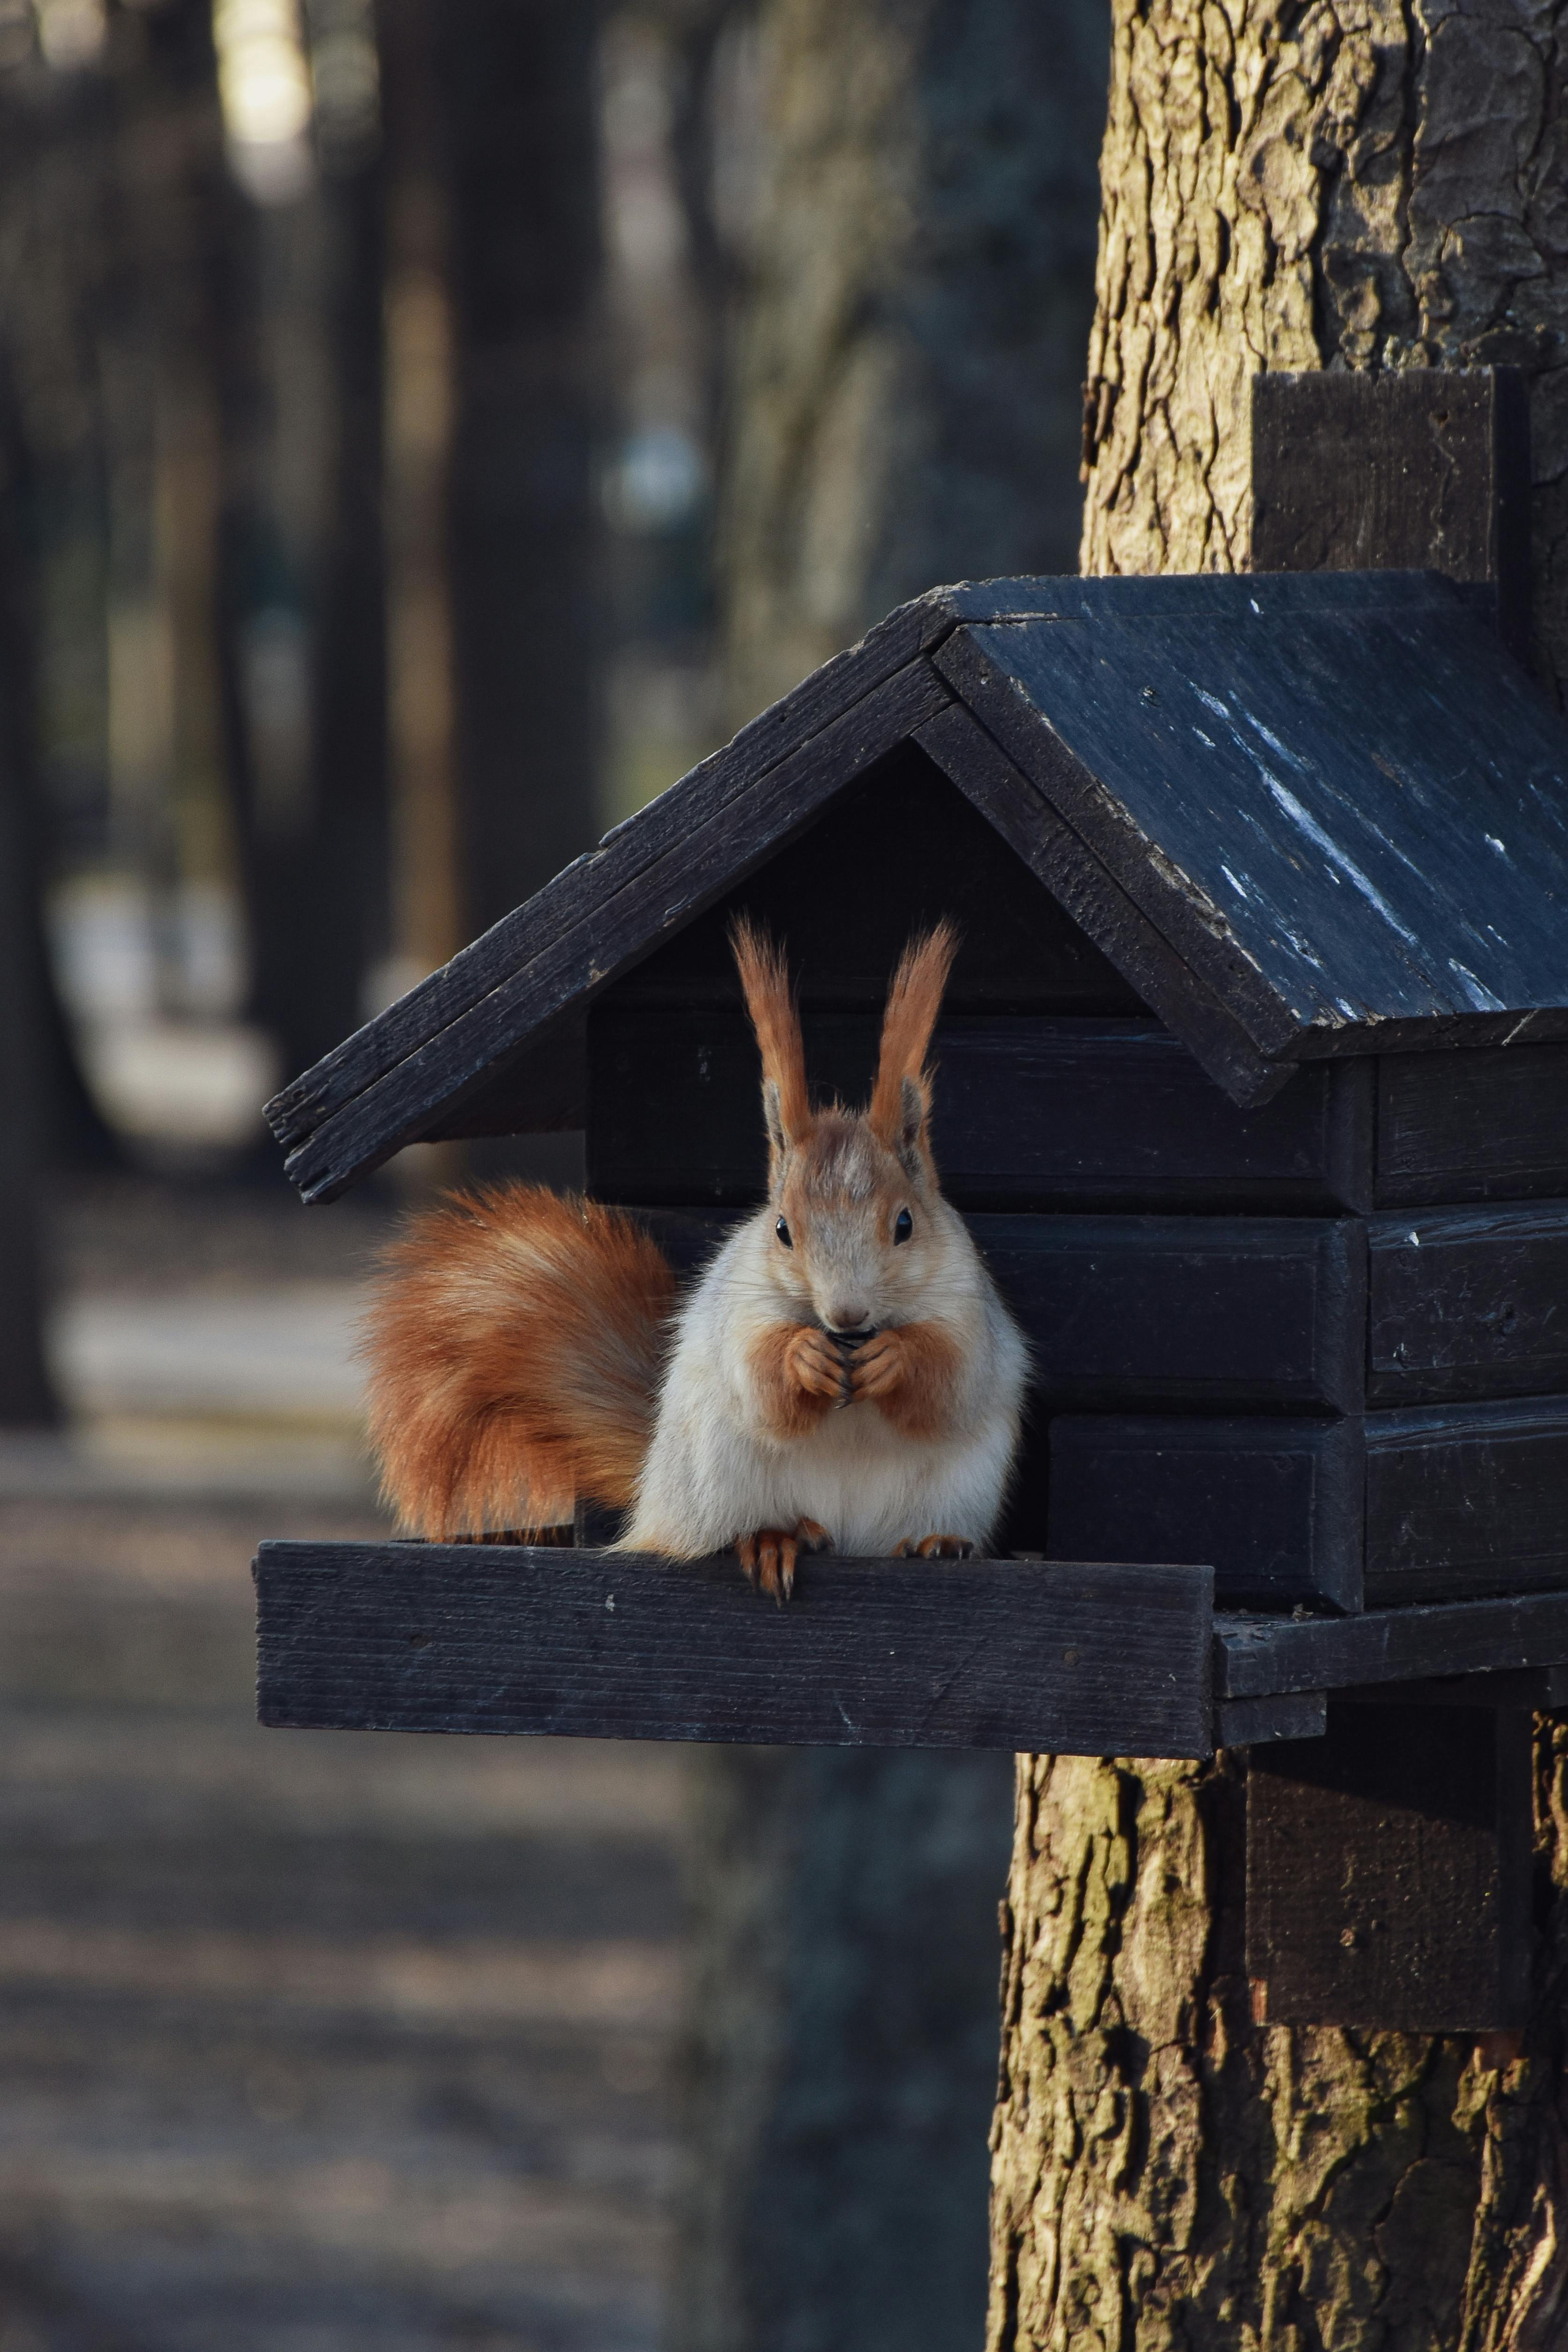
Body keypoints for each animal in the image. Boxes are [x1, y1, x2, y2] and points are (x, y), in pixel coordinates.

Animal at [362, 918, 1030, 1600]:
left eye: (904, 1224)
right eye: (782, 1229)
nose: (845, 1316)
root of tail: (652, 1503)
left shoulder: (966, 1305)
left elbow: (950, 1376)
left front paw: (893, 1355)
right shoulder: (741, 1307)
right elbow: (759, 1375)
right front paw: (803, 1356)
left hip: (951, 1489)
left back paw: (932, 1543)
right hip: (715, 1480)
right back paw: (776, 1537)